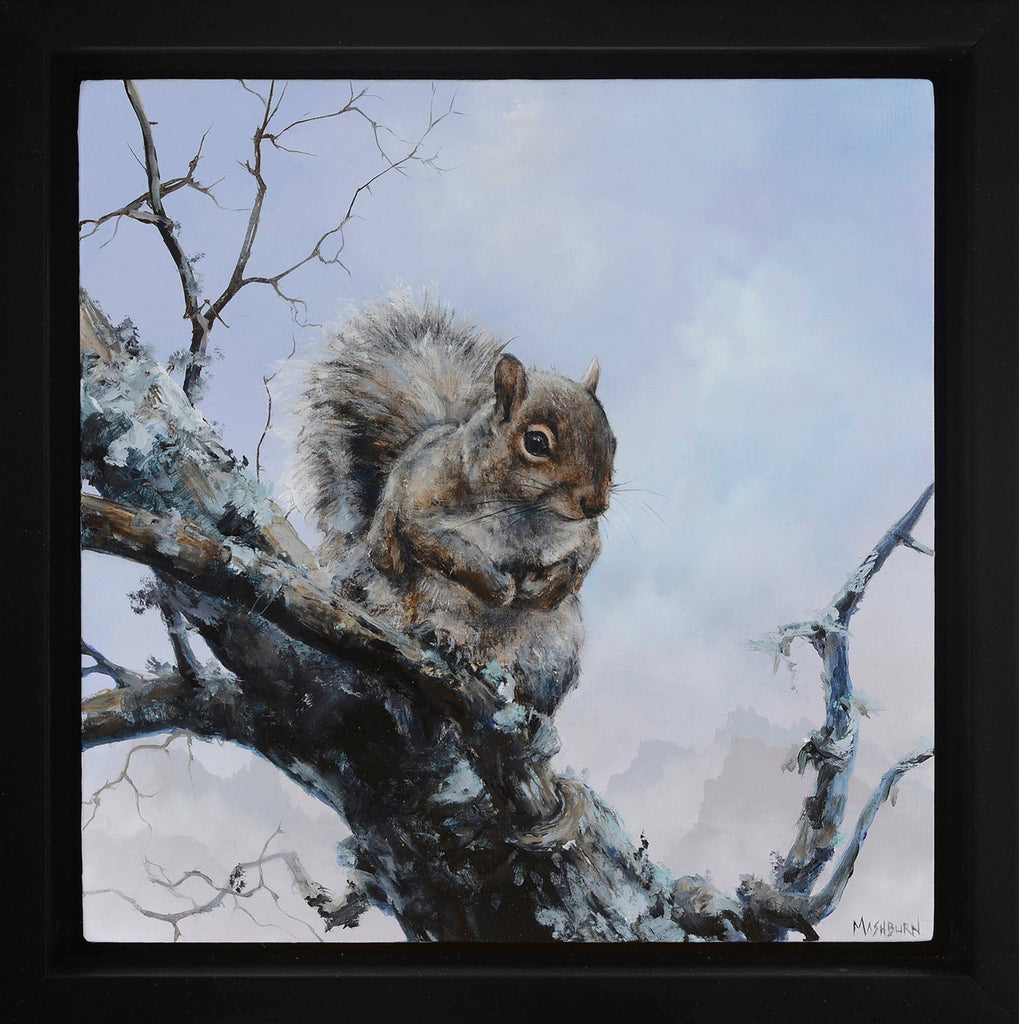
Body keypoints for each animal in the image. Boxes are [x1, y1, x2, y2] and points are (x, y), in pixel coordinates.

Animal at [291, 292, 616, 715]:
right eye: (536, 442)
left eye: (612, 441)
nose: (595, 505)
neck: (526, 513)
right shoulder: (420, 499)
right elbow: (438, 544)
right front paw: (499, 589)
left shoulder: (583, 534)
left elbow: (585, 555)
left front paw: (544, 589)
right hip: (400, 602)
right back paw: (445, 641)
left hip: (551, 650)